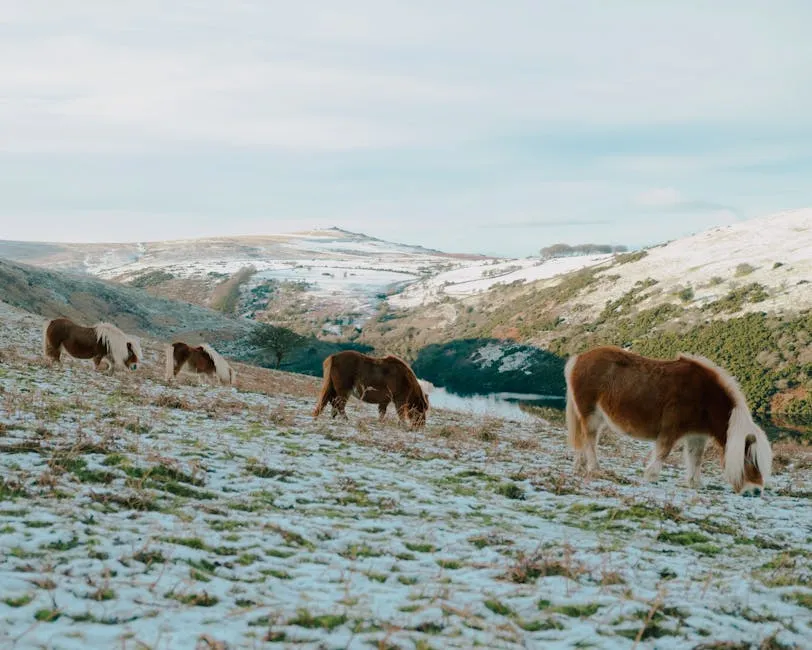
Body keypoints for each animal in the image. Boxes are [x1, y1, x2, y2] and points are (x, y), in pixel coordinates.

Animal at [564, 346, 772, 494]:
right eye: (750, 461)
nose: (756, 491)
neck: (705, 396)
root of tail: (578, 358)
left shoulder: (697, 436)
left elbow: (696, 458)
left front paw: (695, 483)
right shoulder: (671, 429)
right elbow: (663, 452)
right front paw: (651, 476)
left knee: (583, 439)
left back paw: (579, 467)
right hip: (591, 415)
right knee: (590, 440)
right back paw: (595, 468)